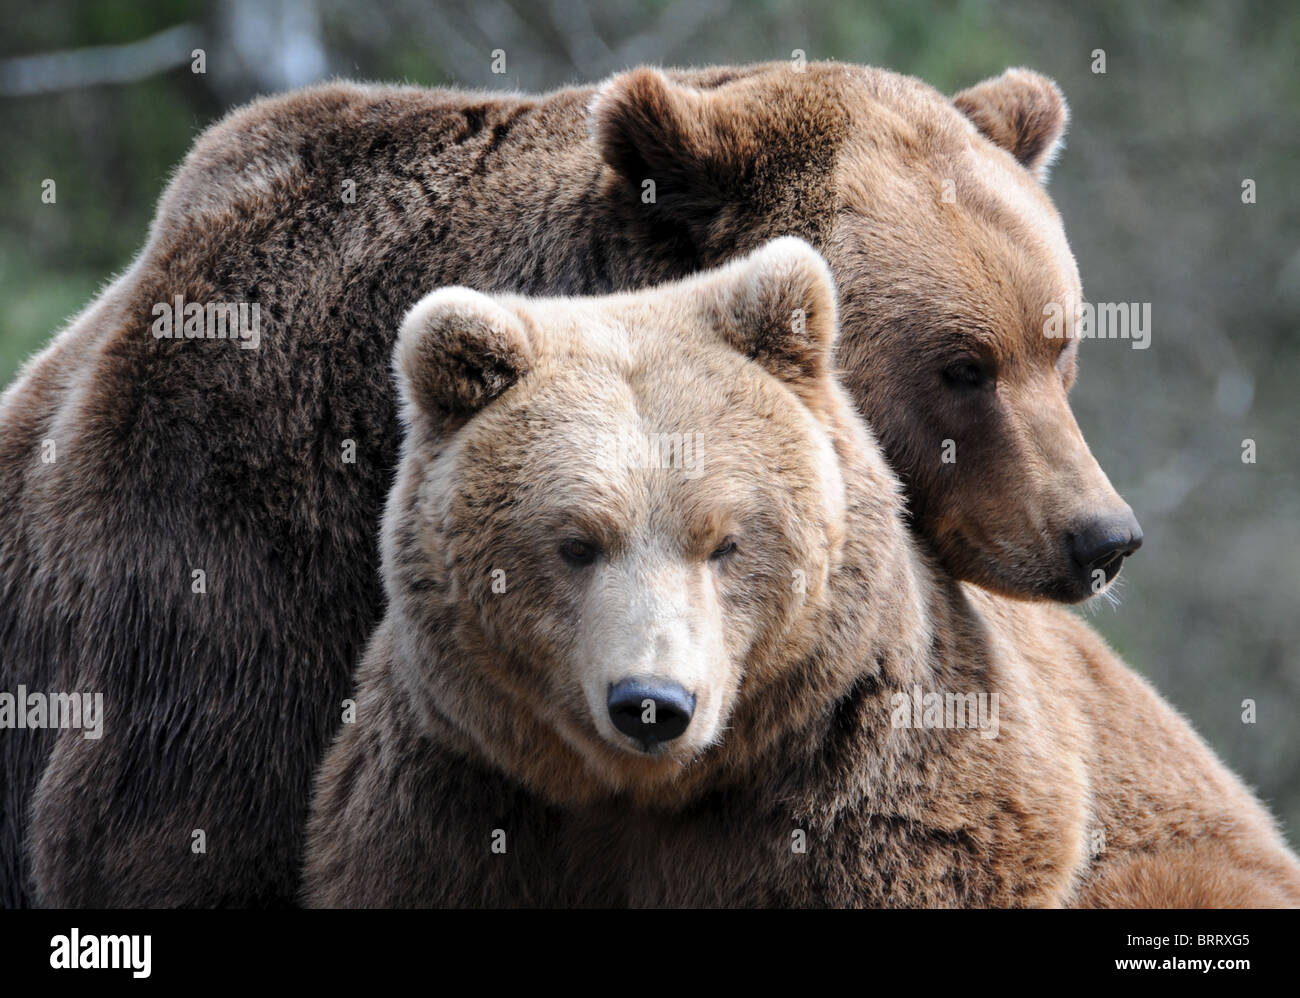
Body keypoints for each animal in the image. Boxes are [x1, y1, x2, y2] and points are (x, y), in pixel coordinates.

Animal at [302, 238, 1300, 908]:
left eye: (726, 541)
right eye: (576, 543)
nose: (653, 703)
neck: (657, 795)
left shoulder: (882, 796)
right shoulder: (457, 804)